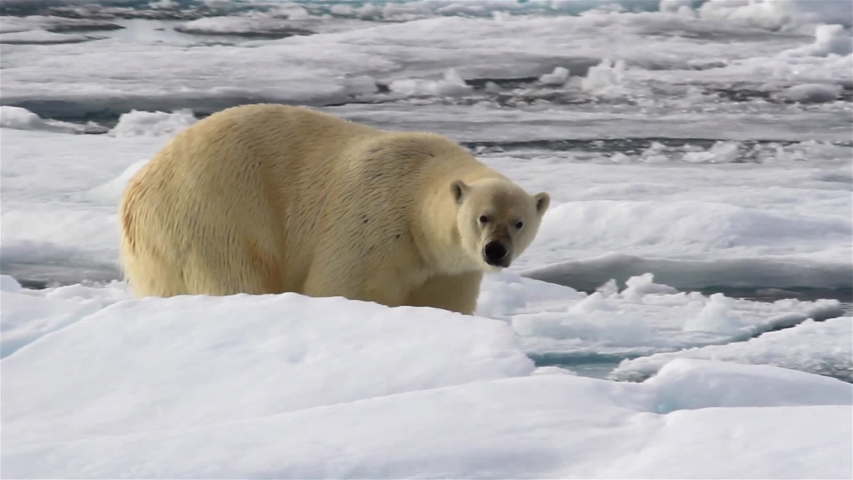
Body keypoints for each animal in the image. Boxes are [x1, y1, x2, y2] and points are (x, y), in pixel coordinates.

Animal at [118, 104, 550, 315]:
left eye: (519, 222)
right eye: (483, 217)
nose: (495, 251)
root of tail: (136, 191)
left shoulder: (446, 268)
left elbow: (443, 302)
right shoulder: (375, 219)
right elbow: (341, 286)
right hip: (215, 211)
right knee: (234, 275)